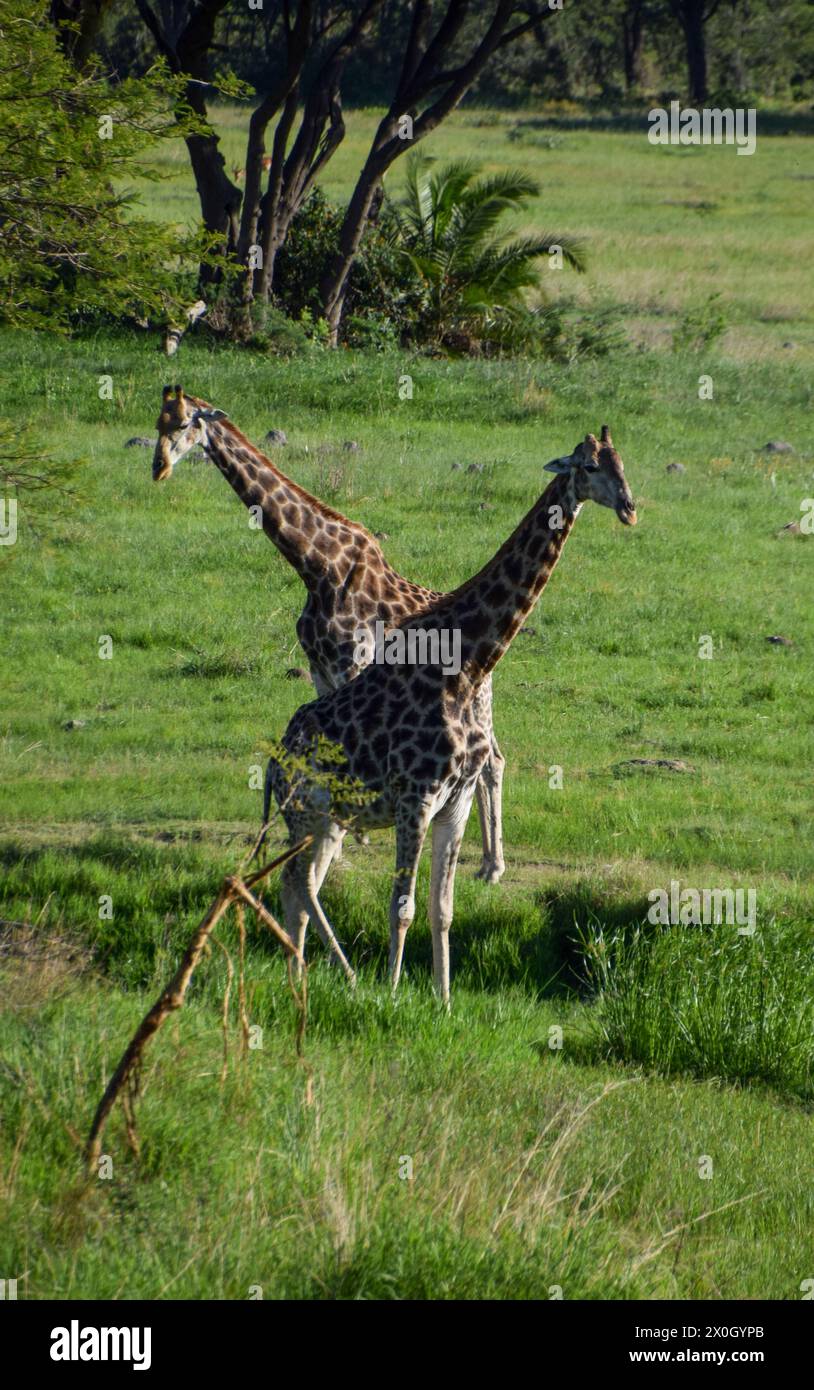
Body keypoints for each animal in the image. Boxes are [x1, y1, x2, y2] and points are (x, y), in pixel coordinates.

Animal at [151, 385, 506, 882]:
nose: (158, 468)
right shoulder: (319, 667)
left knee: (493, 762)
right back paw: (489, 863)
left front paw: (347, 844)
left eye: (186, 423)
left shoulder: (350, 662)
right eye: (157, 423)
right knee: (494, 760)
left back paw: (493, 866)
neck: (315, 567)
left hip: (476, 705)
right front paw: (334, 843)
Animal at [267, 428, 637, 1000]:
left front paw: (441, 1000)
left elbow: (442, 910)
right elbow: (401, 907)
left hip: (326, 819)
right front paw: (393, 994)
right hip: (309, 811)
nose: (628, 508)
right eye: (589, 467)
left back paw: (299, 978)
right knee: (300, 883)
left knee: (296, 884)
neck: (468, 664)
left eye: (622, 464)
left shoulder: (455, 802)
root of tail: (274, 758)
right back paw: (341, 974)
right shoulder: (415, 798)